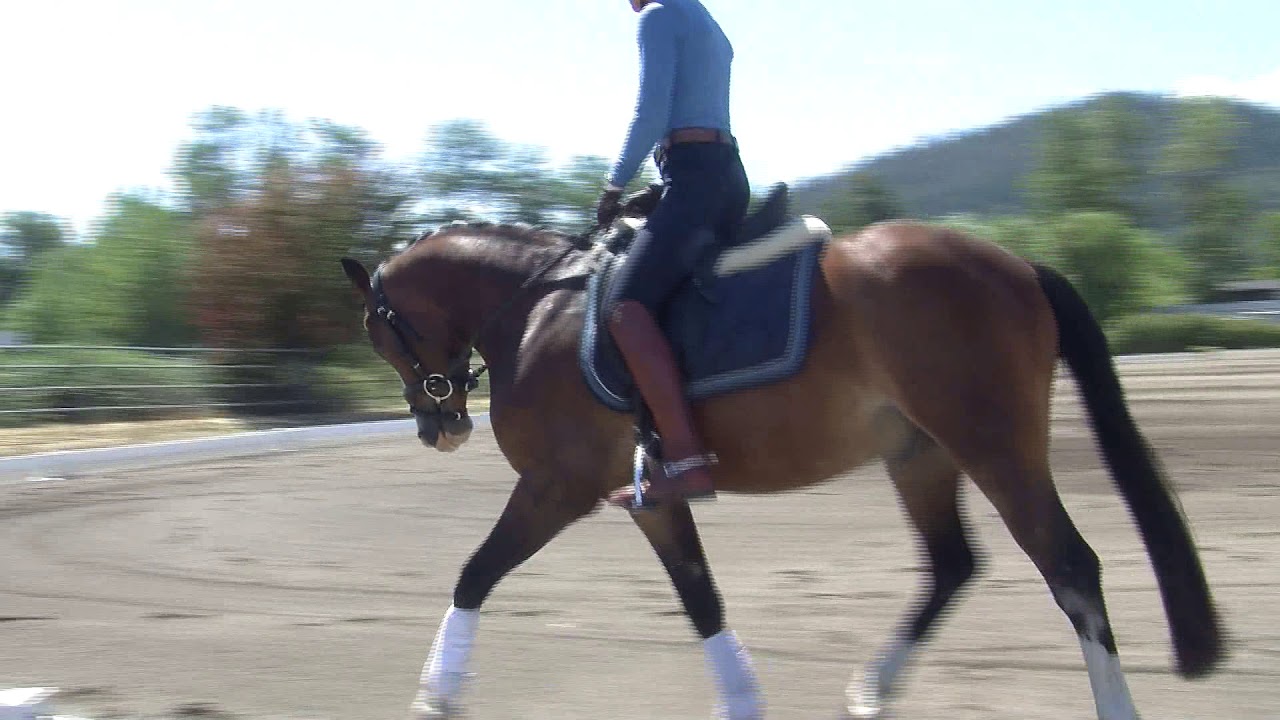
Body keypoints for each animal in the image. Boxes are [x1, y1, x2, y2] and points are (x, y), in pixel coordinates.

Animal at [338, 188, 1226, 719]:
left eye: (380, 331)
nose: (438, 426)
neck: (536, 311)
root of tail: (1019, 265)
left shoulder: (558, 486)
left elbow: (474, 574)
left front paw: (435, 693)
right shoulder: (647, 497)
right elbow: (701, 598)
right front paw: (741, 701)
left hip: (993, 447)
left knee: (1071, 566)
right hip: (922, 454)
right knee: (952, 564)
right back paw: (872, 688)